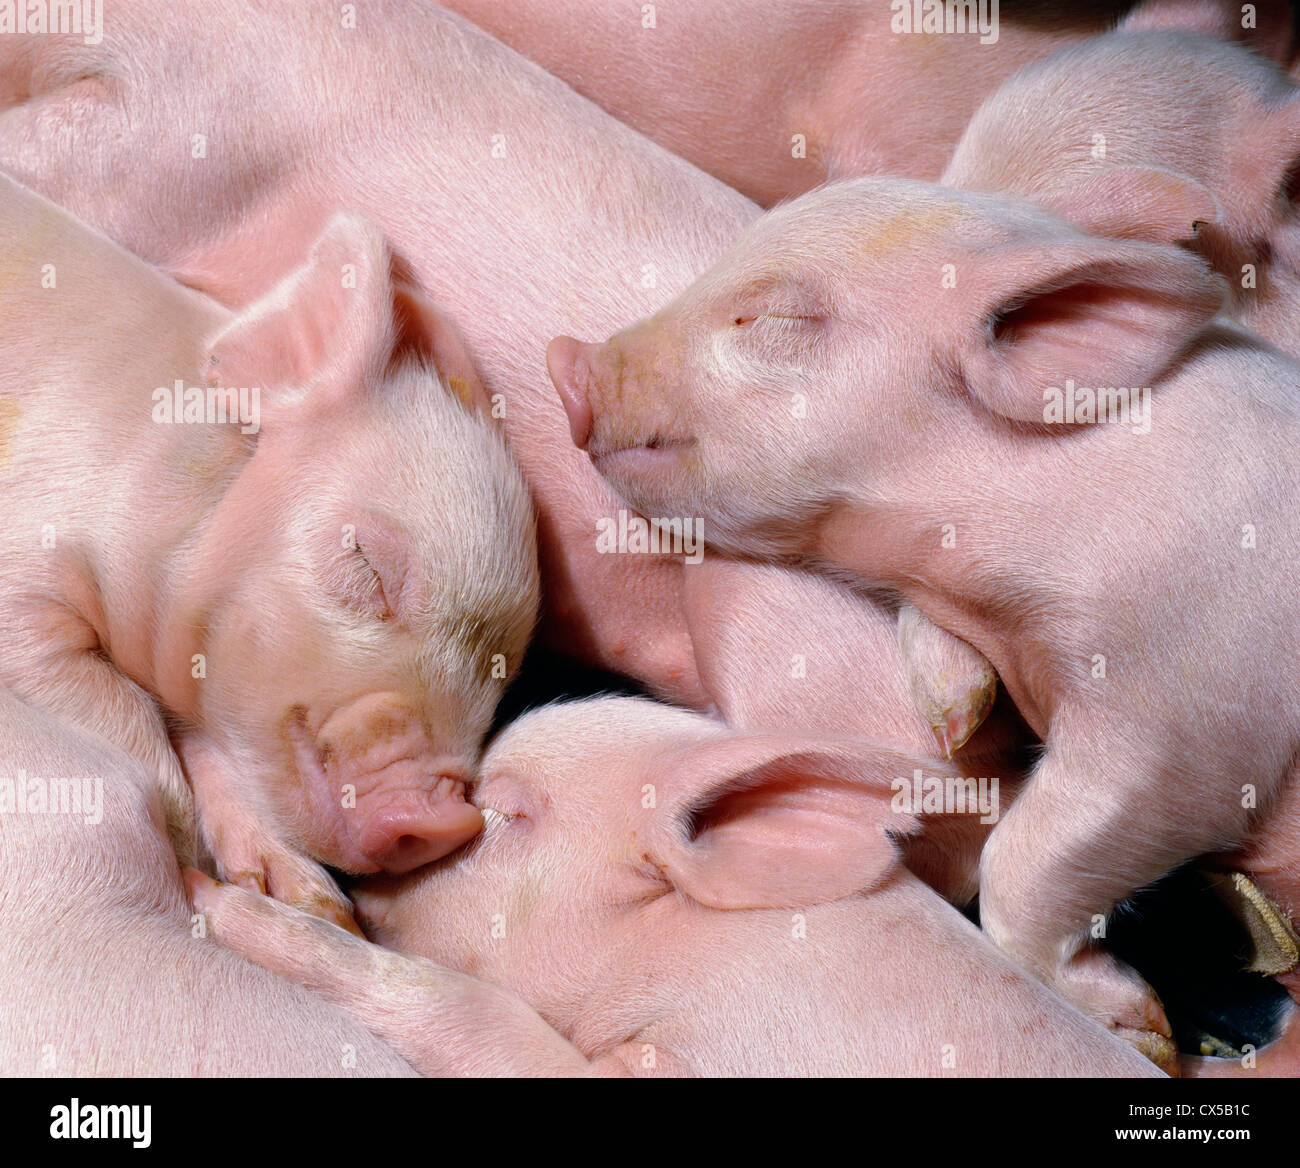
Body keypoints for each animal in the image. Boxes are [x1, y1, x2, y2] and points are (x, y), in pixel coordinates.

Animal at [0, 172, 539, 925]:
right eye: (368, 563)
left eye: (505, 673)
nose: (445, 821)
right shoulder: (27, 571)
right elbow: (128, 722)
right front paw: (189, 861)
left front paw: (309, 900)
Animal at [549, 176, 1300, 1071]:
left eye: (777, 317)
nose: (567, 361)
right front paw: (955, 721)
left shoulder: (1191, 718)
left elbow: (1029, 854)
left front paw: (1144, 1033)